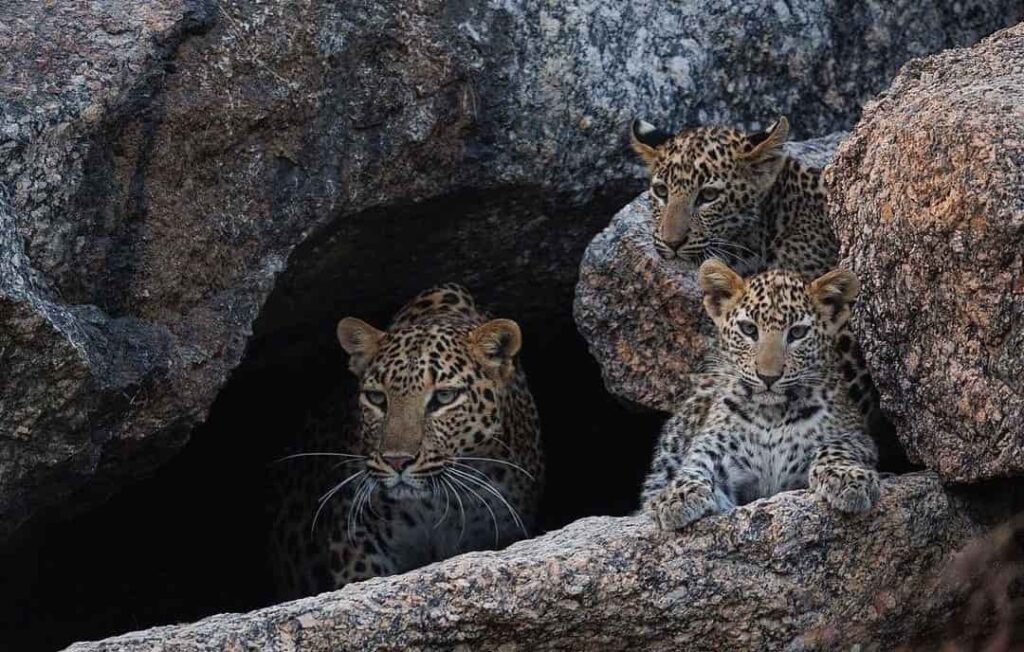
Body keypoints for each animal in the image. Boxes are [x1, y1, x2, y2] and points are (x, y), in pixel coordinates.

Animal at [642, 260, 880, 530]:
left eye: (797, 333)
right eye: (748, 329)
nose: (768, 377)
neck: (771, 416)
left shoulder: (857, 436)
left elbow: (835, 448)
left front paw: (847, 478)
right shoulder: (715, 450)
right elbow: (696, 464)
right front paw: (678, 496)